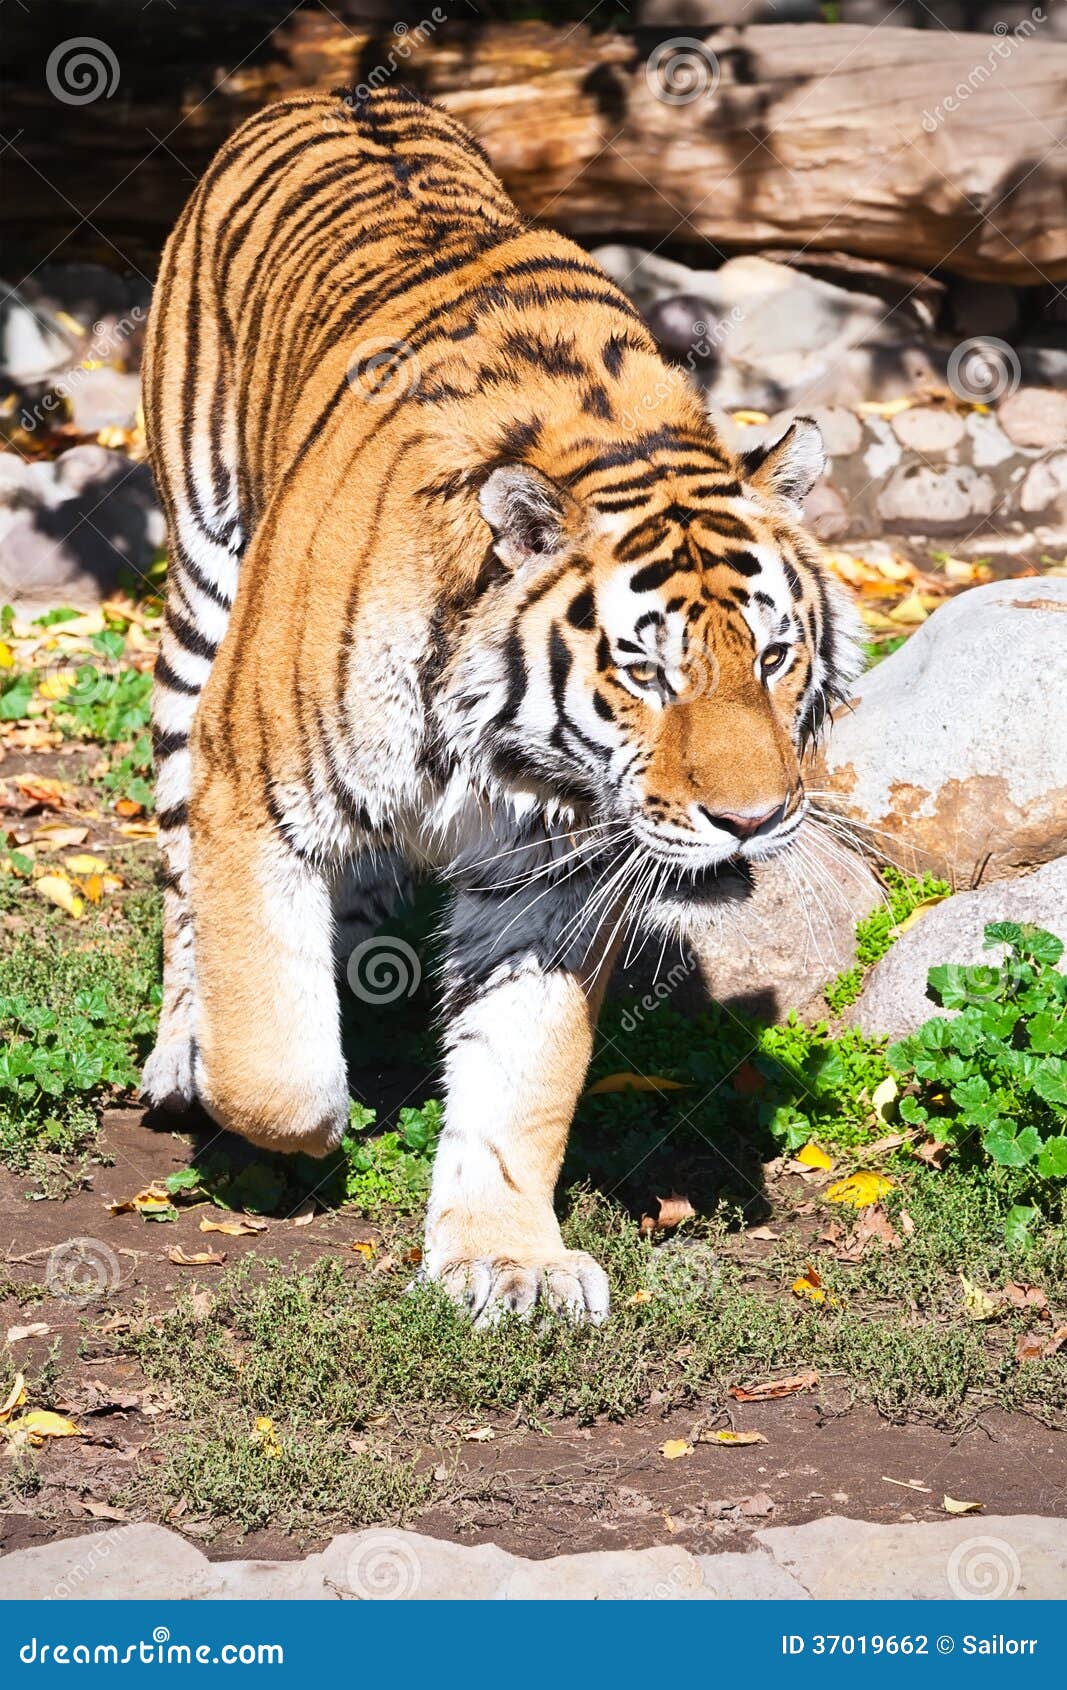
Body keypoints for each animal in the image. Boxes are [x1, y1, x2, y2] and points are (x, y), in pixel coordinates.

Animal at [140, 85, 861, 1325]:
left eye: (772, 656)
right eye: (647, 671)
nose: (754, 821)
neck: (494, 751)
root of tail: (345, 87)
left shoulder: (549, 875)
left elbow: (525, 1072)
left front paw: (503, 1258)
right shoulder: (250, 784)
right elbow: (279, 1065)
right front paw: (306, 1117)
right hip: (200, 588)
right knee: (182, 856)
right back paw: (185, 1046)